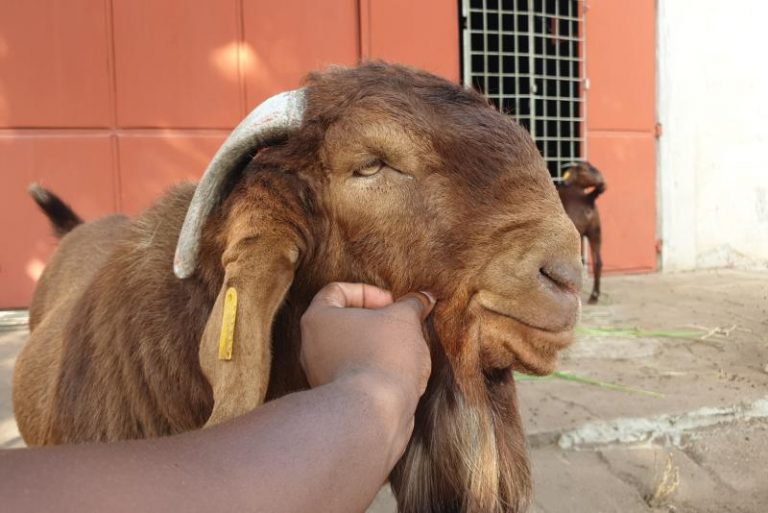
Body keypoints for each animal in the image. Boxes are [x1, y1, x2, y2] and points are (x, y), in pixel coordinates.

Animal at [557, 161, 606, 304]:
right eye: (584, 170)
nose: (602, 182)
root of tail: (588, 198)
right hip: (595, 232)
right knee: (598, 262)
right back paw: (594, 295)